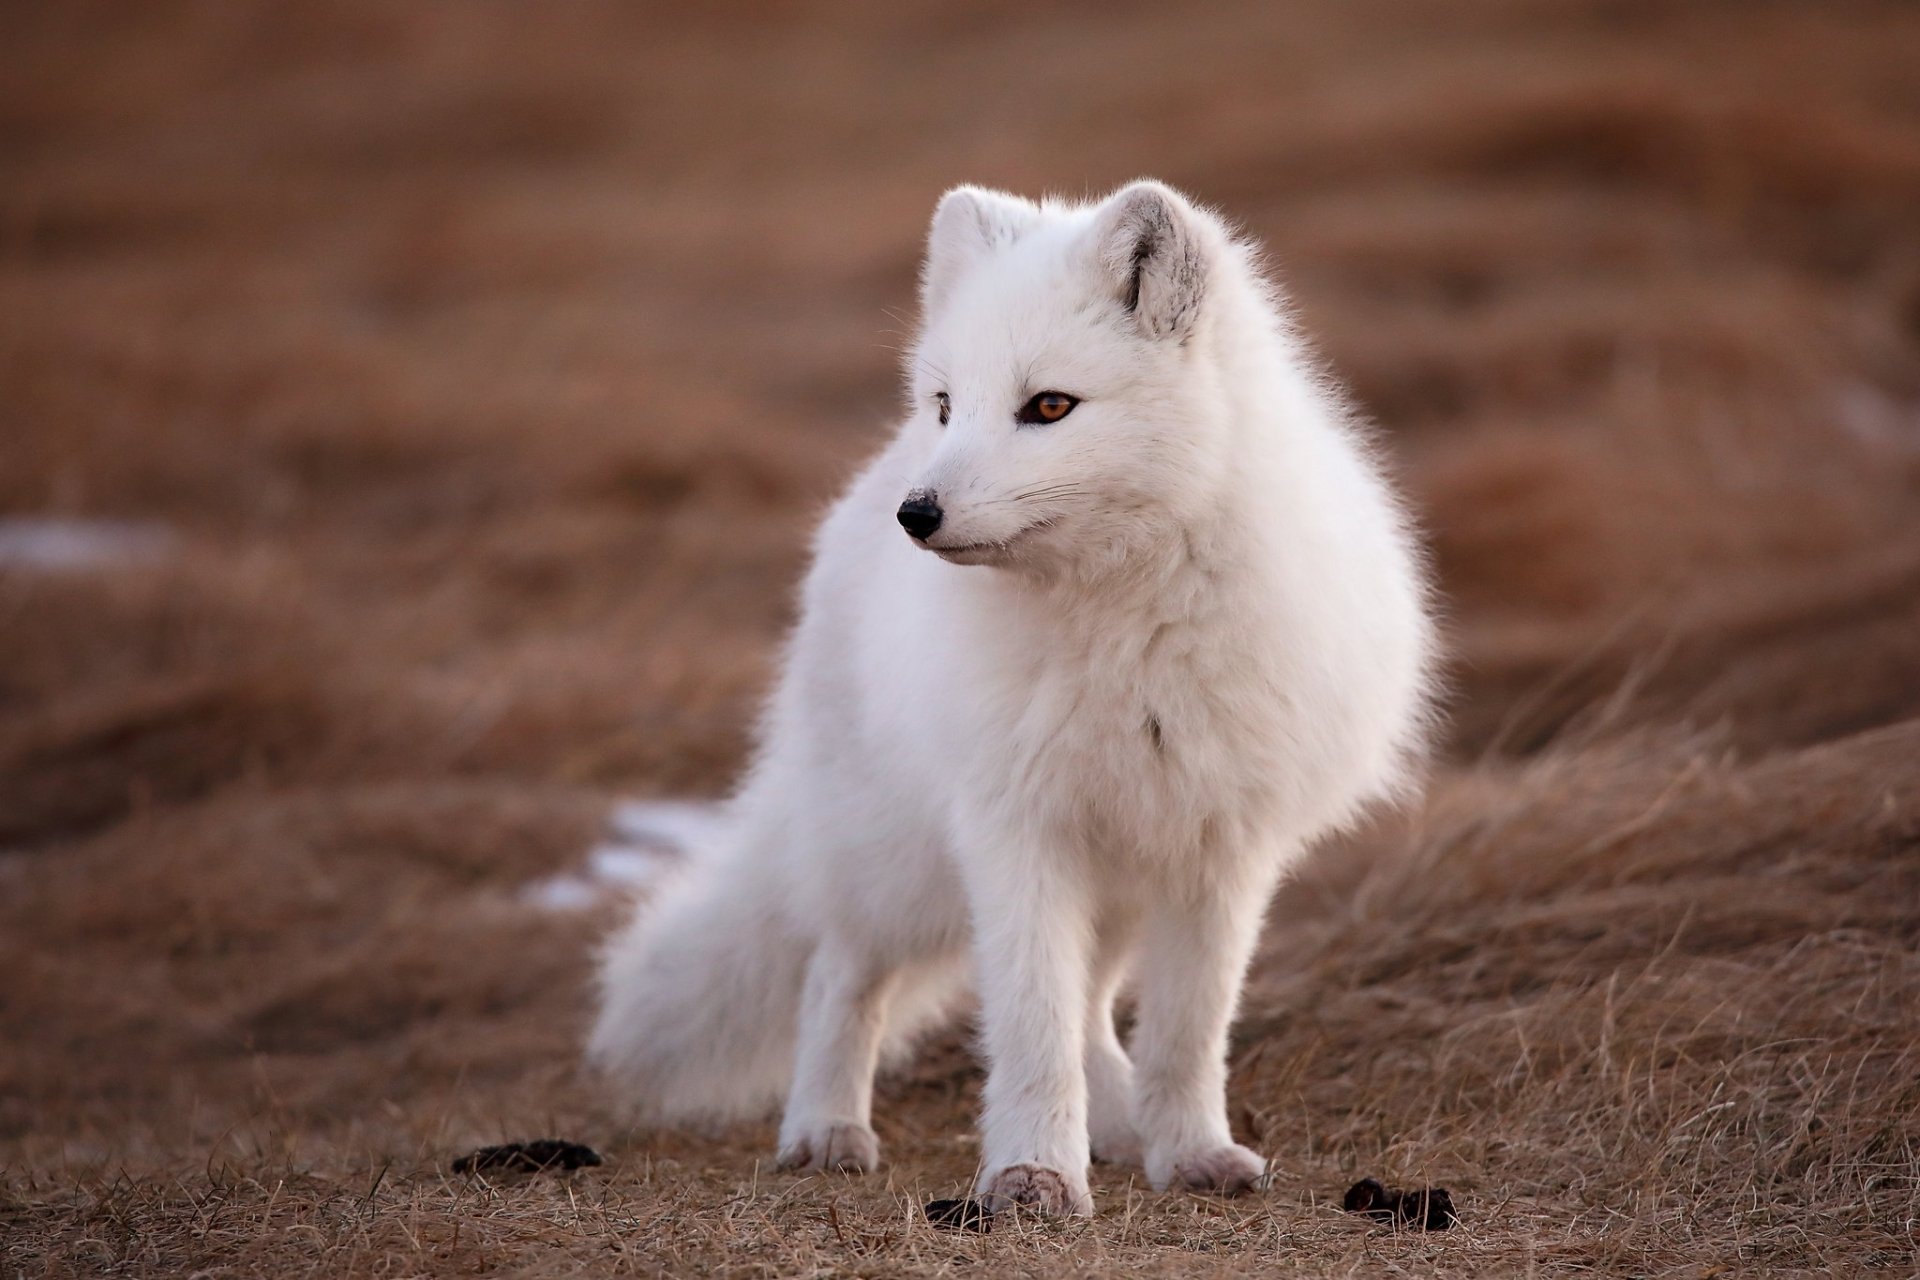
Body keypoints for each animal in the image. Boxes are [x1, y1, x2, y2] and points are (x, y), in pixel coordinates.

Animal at [588, 180, 1436, 1216]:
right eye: (949, 403)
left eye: (1049, 406)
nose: (918, 515)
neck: (1127, 625)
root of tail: (875, 475)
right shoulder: (1015, 828)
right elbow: (1031, 1025)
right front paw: (1033, 1175)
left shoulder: (1221, 850)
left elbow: (1187, 1031)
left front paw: (1190, 1151)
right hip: (895, 862)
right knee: (840, 973)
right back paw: (826, 1129)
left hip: (1114, 877)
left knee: (1096, 1009)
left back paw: (1123, 1125)